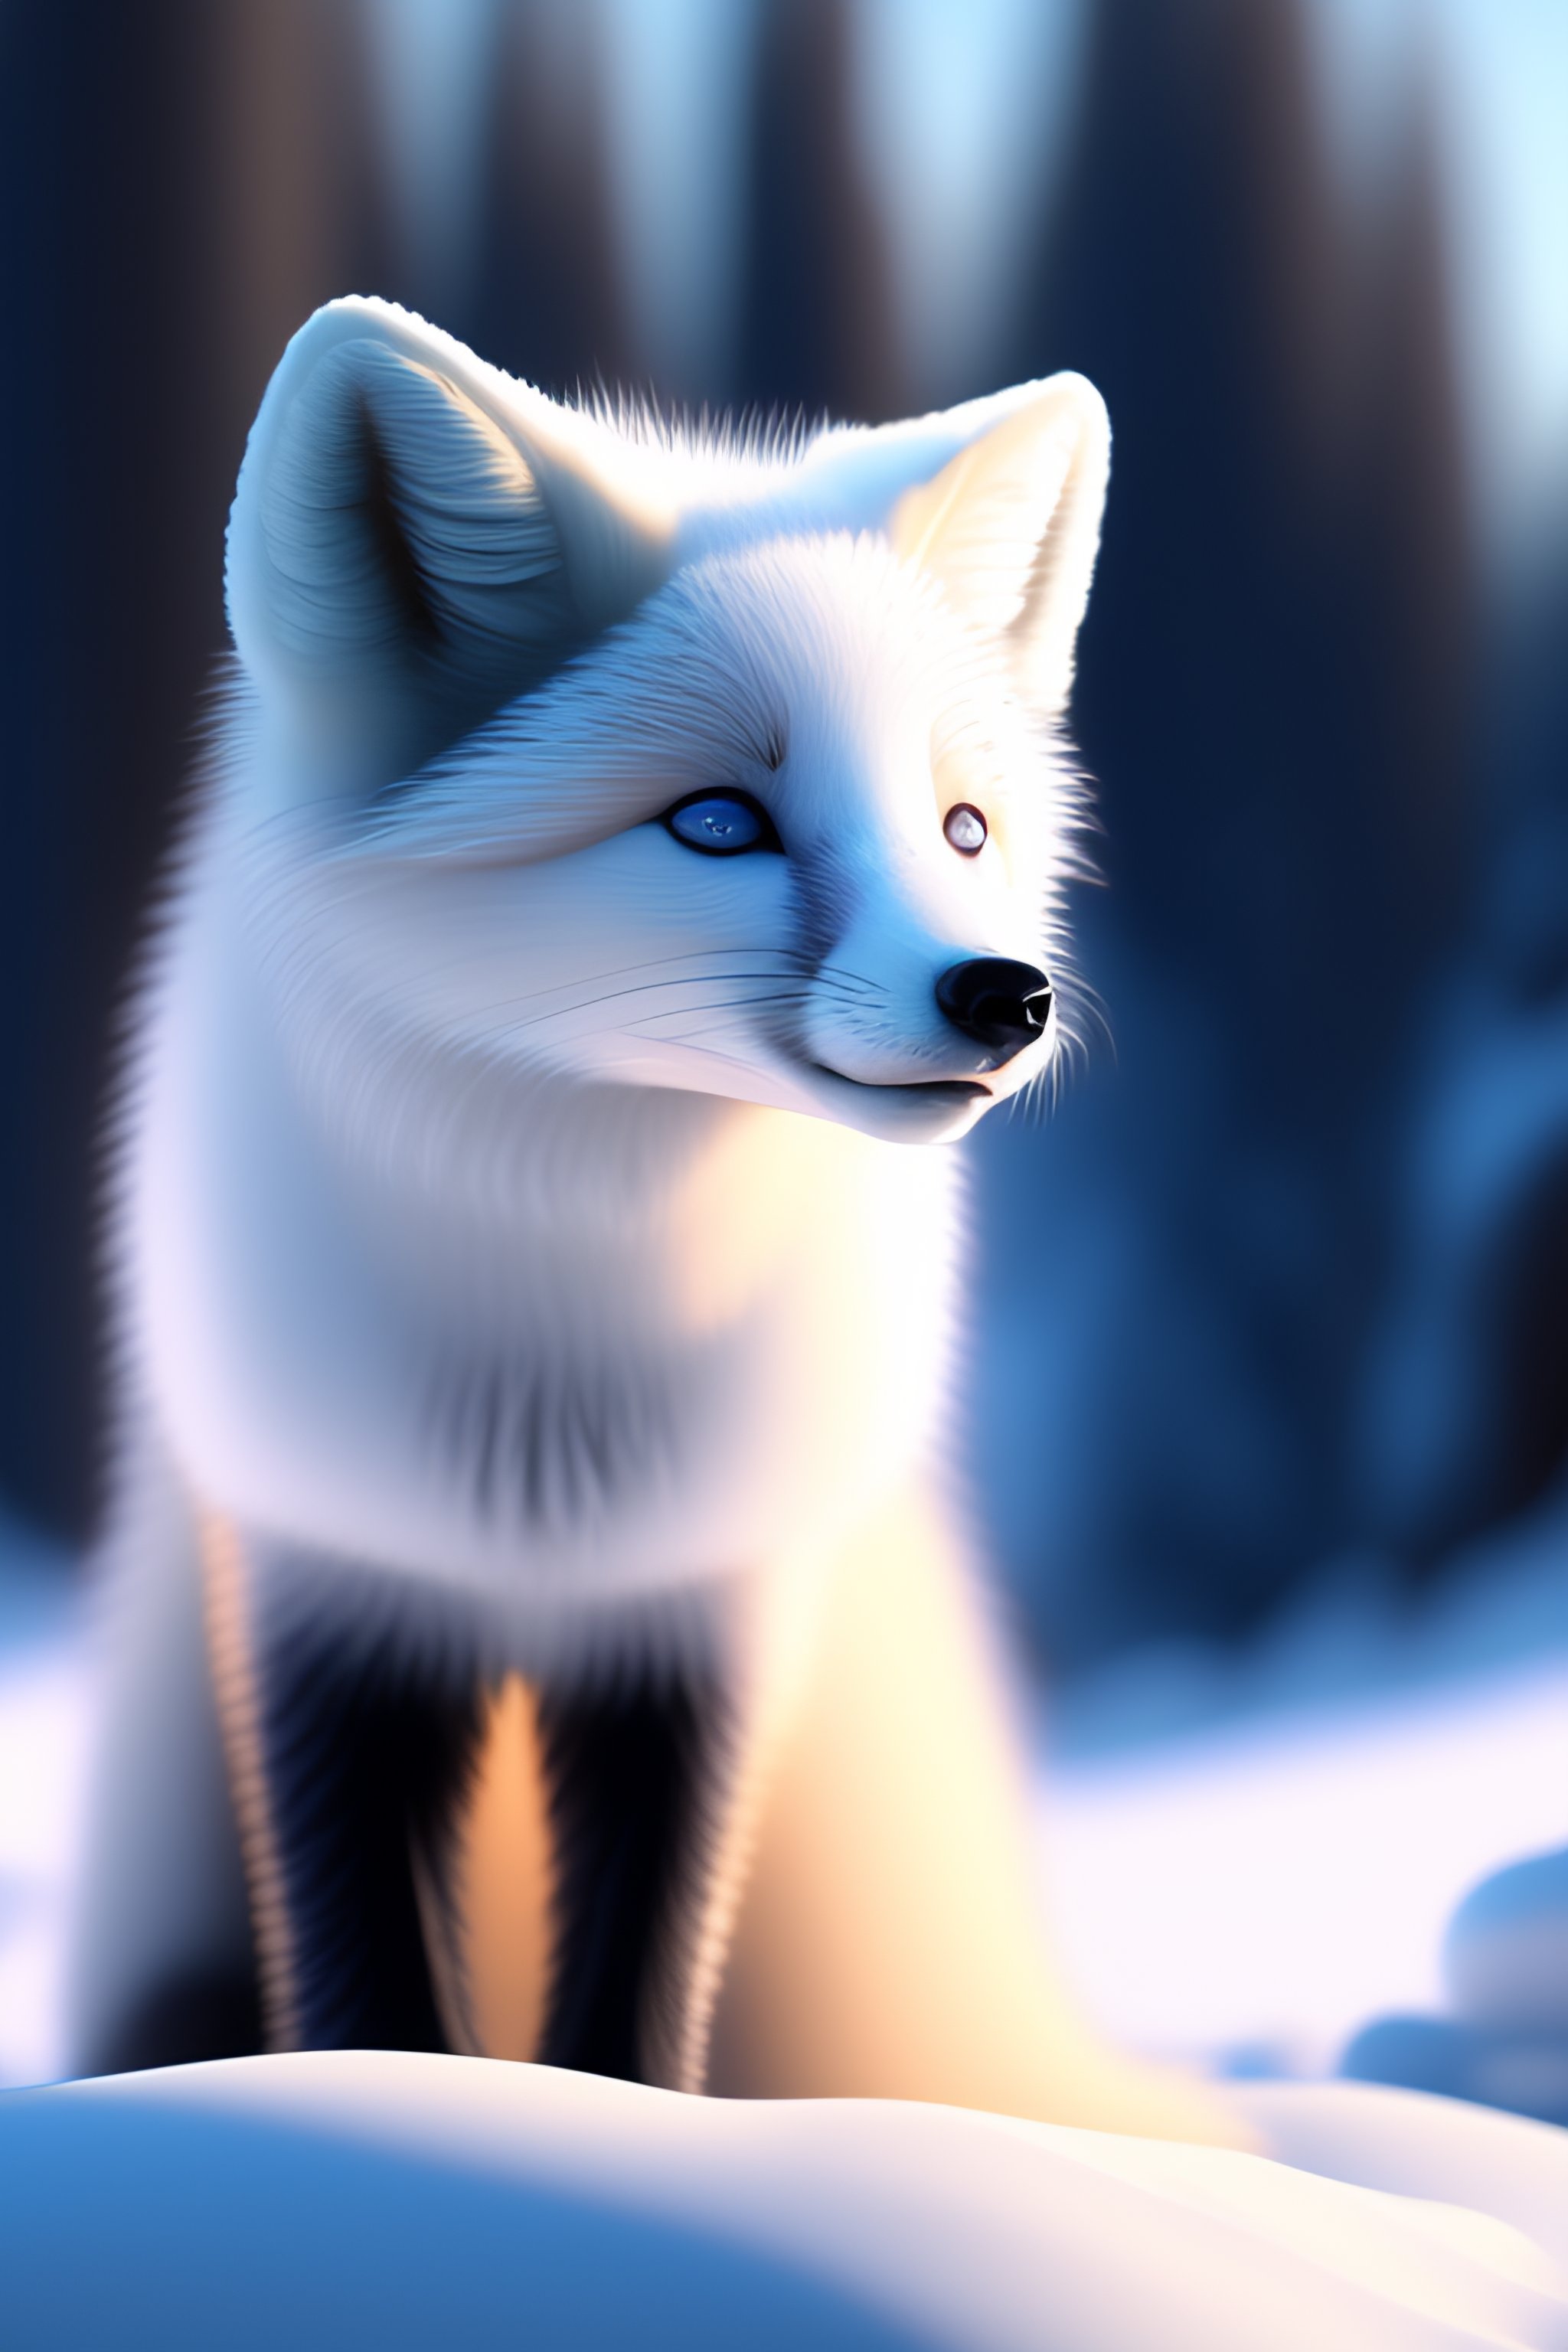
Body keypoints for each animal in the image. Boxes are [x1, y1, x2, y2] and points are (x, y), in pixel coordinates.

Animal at [68, 296, 1231, 2142]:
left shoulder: (701, 1610)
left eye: (962, 826)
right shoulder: (338, 1577)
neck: (556, 1417)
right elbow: (367, 1958)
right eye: (716, 822)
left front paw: (631, 2142)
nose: (1004, 995)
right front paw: (377, 2117)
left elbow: (634, 1976)